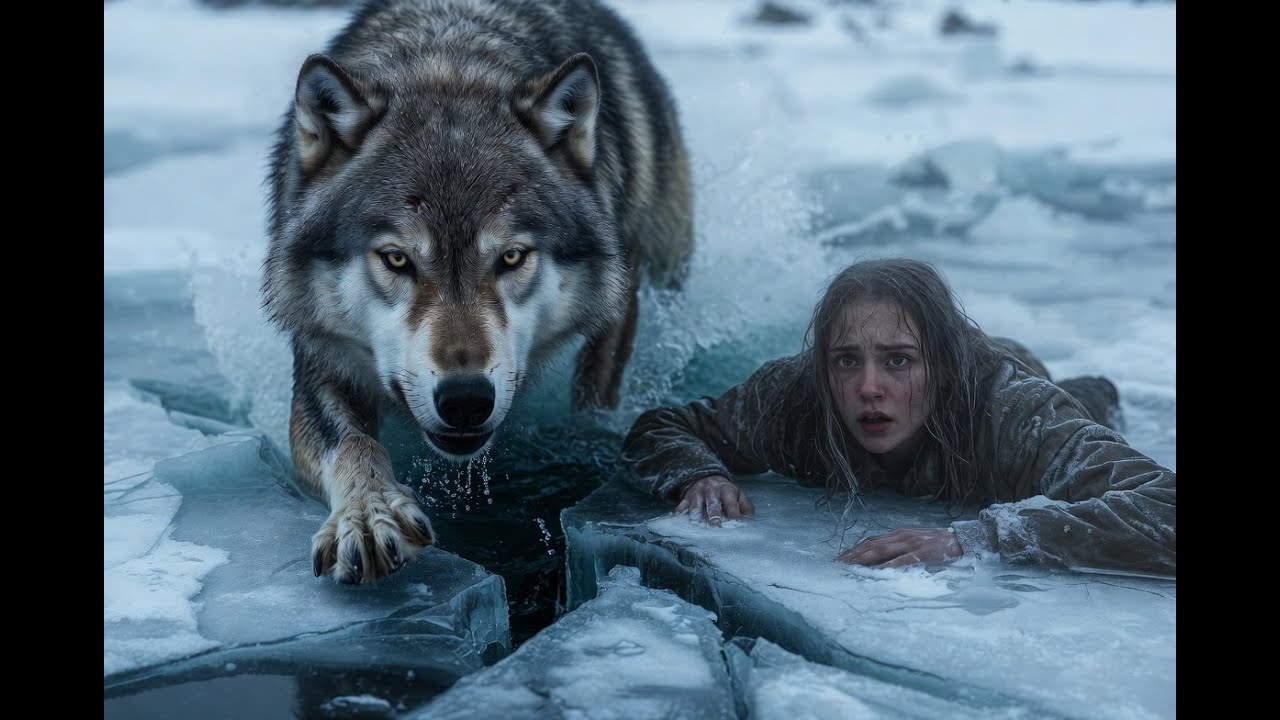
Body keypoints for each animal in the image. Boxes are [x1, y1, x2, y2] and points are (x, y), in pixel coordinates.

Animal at [261, 0, 693, 584]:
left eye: (510, 257)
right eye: (397, 259)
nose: (465, 399)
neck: (451, 62)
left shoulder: (618, 301)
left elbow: (590, 399)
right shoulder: (320, 355)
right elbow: (353, 444)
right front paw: (370, 513)